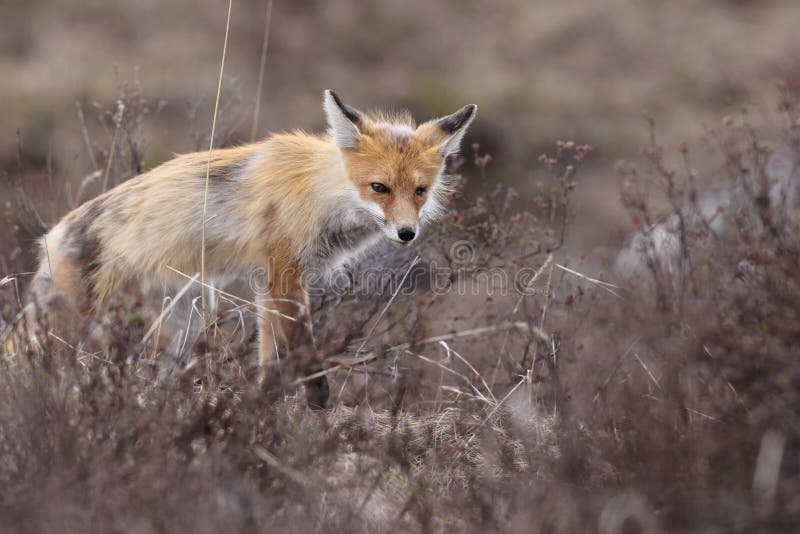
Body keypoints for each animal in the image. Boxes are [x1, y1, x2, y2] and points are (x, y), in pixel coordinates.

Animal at [23, 90, 477, 405]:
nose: (406, 233)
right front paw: (317, 406)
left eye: (420, 191)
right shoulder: (284, 276)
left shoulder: (267, 285)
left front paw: (262, 407)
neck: (319, 195)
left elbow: (269, 360)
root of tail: (50, 236)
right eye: (379, 187)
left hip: (184, 323)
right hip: (75, 324)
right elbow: (305, 355)